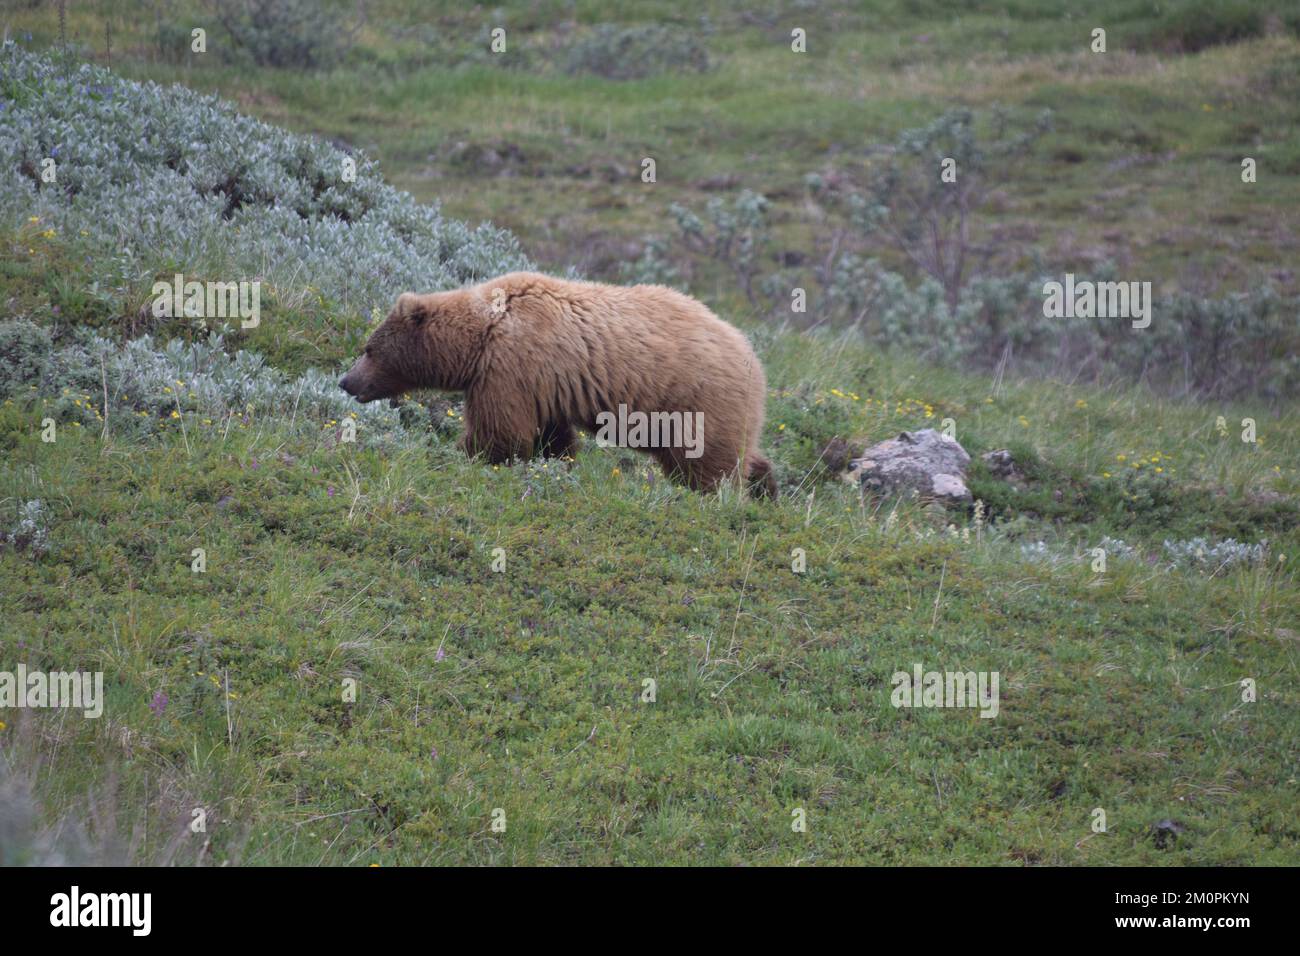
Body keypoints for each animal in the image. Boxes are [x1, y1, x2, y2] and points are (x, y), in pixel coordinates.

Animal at [339, 272, 777, 498]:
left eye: (369, 349)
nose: (346, 381)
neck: (480, 336)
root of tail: (752, 354)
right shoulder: (543, 384)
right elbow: (550, 435)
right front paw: (554, 461)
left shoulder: (510, 367)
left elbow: (501, 433)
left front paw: (464, 454)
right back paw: (765, 485)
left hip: (695, 400)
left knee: (708, 463)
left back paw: (718, 494)